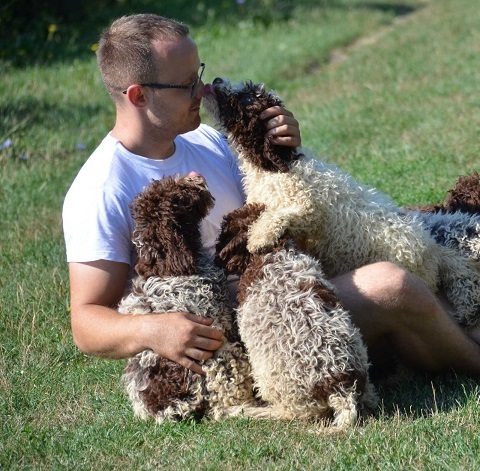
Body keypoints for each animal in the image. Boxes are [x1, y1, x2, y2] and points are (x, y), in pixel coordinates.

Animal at [217, 203, 378, 428]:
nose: (216, 256)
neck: (274, 253)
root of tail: (340, 389)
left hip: (280, 388)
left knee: (287, 414)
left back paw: (240, 411)